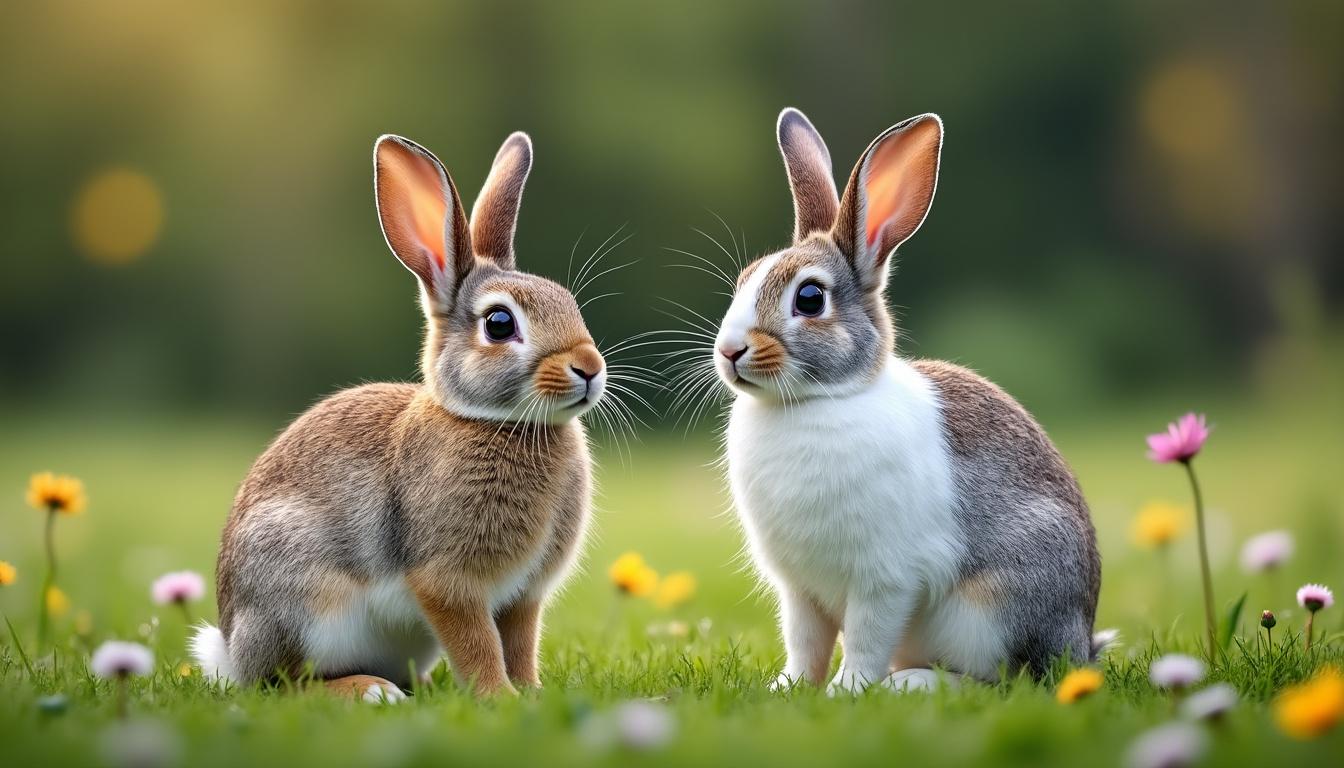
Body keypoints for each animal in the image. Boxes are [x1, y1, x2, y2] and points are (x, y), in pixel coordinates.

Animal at [190, 132, 606, 701]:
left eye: (567, 302)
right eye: (500, 324)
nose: (590, 367)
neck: (494, 421)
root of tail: (231, 651)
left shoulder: (523, 595)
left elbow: (519, 643)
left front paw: (529, 692)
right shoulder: (447, 581)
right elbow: (477, 643)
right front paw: (497, 696)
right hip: (302, 603)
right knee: (285, 683)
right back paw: (369, 690)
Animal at [711, 108, 1103, 694]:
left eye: (810, 298)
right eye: (742, 281)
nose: (729, 350)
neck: (819, 399)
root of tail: (1082, 646)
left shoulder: (885, 580)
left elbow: (866, 638)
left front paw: (847, 691)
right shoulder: (799, 590)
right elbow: (805, 644)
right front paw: (789, 689)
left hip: (994, 608)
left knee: (1005, 679)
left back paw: (912, 684)